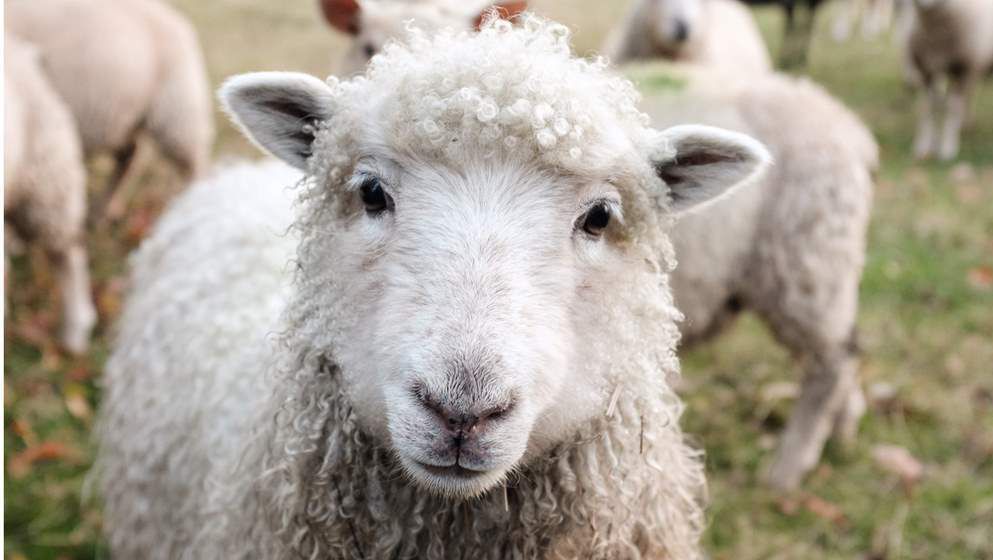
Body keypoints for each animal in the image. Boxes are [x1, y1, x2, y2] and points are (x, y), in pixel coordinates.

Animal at [6, 0, 214, 219]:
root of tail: (179, 23)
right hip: (126, 118)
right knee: (129, 157)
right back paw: (104, 210)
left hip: (177, 111)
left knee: (193, 164)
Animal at [904, 0, 993, 161]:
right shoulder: (926, 71)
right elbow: (927, 108)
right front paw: (924, 147)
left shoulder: (961, 70)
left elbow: (952, 108)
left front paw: (947, 148)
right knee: (970, 94)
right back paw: (966, 124)